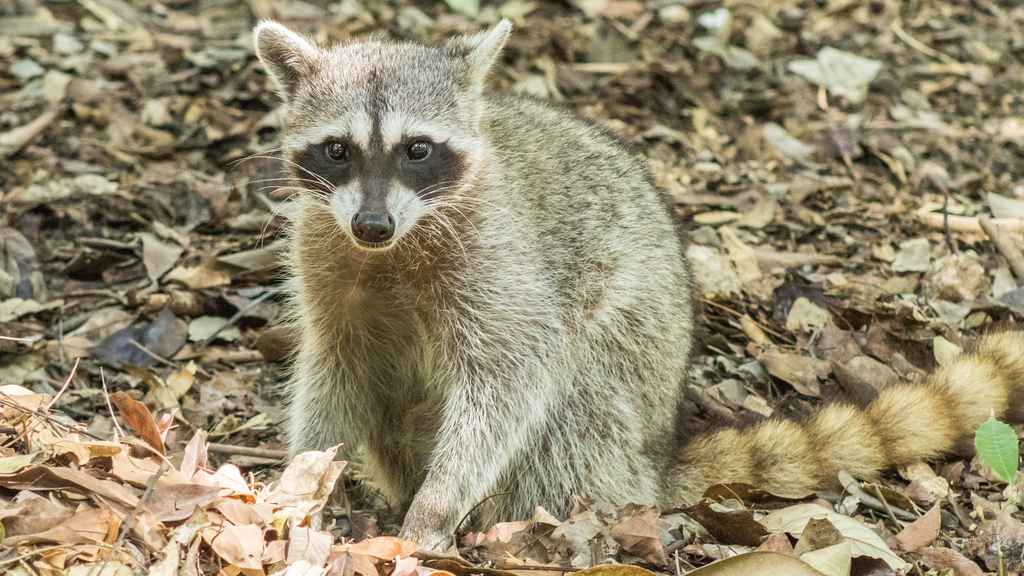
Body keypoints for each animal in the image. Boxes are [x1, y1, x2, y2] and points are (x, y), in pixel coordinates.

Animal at [253, 20, 1024, 550]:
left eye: (417, 150)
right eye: (338, 150)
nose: (373, 224)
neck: (397, 244)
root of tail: (652, 460)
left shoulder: (500, 260)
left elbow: (510, 378)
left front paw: (436, 505)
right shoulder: (328, 254)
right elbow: (333, 366)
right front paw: (304, 479)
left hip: (619, 378)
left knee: (569, 411)